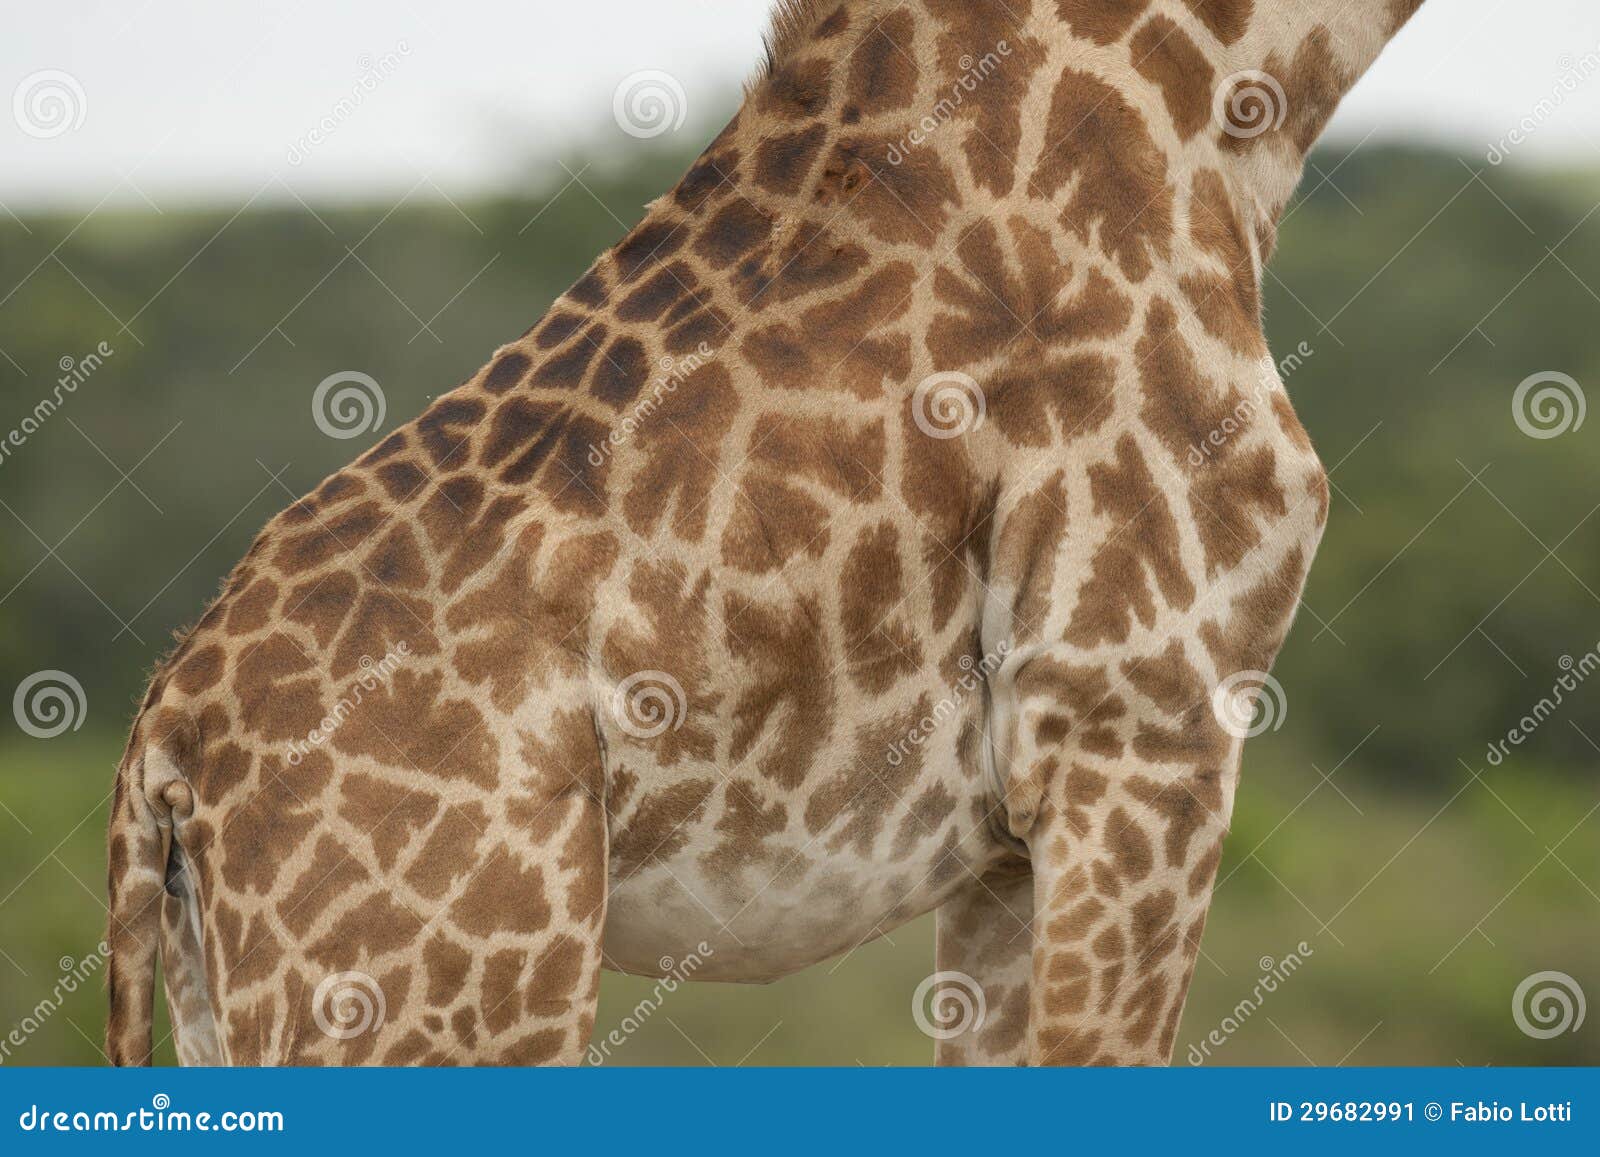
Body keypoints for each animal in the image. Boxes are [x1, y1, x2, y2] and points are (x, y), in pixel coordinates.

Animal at [107, 0, 1428, 1066]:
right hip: (443, 1005)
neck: (1222, 92)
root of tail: (162, 749)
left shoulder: (1014, 833)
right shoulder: (1143, 718)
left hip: (229, 1003)